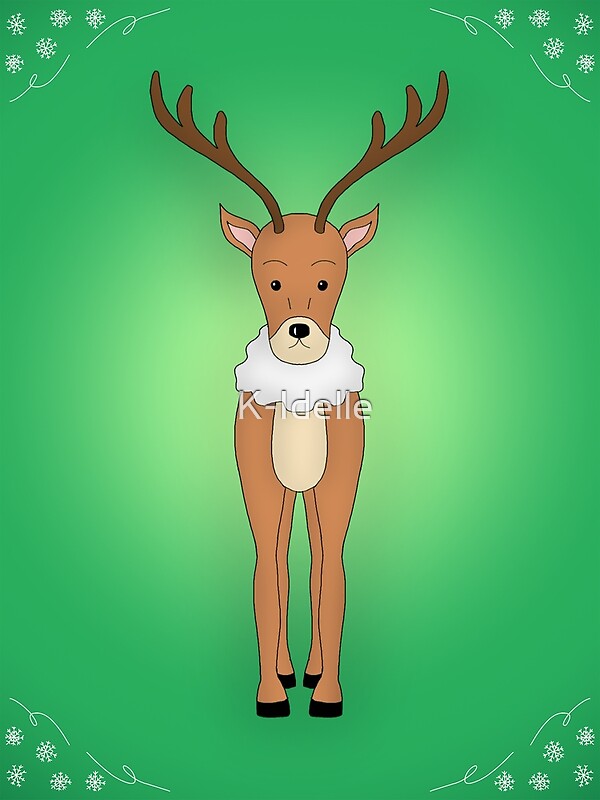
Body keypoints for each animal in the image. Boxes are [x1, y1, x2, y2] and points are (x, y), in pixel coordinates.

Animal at [149, 69, 449, 717]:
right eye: (268, 278)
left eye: (329, 278)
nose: (299, 331)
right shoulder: (256, 479)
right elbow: (267, 576)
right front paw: (269, 695)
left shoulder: (342, 479)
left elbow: (331, 576)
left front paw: (329, 695)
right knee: (286, 564)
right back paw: (288, 671)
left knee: (311, 565)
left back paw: (309, 672)